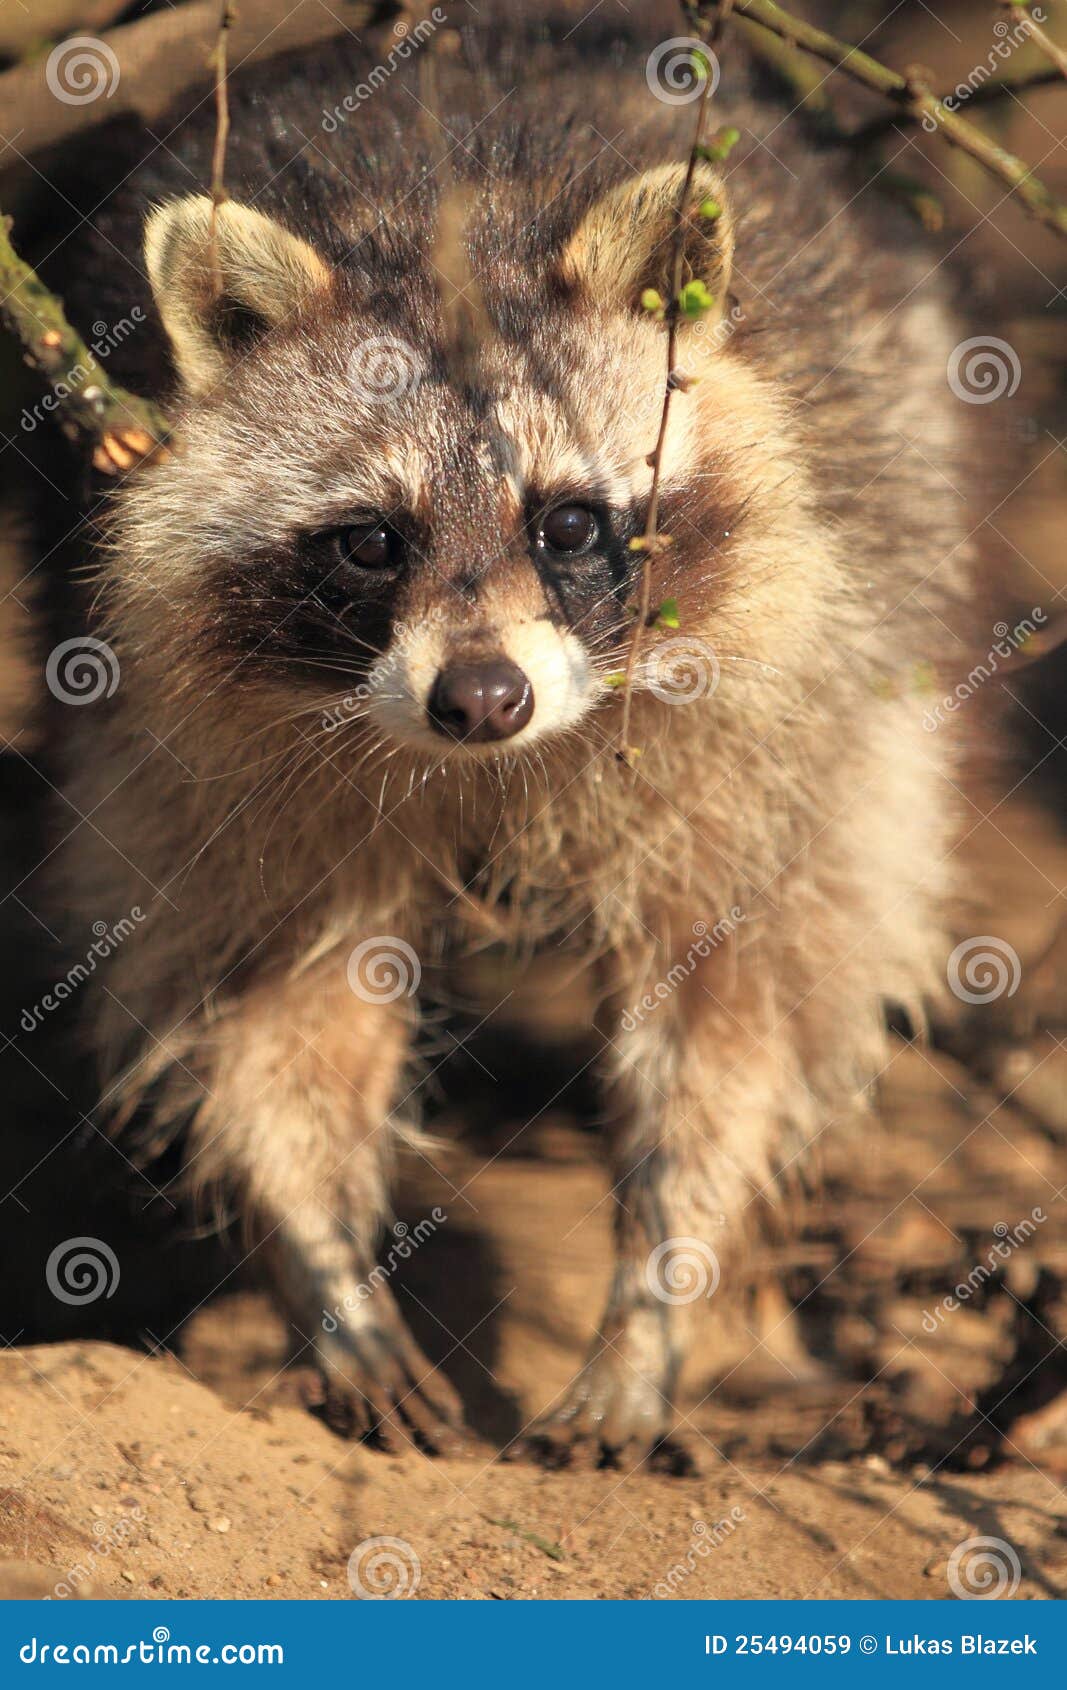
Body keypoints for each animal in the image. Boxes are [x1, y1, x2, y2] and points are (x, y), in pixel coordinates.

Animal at [42, 7, 983, 1461]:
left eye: (569, 522)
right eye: (372, 542)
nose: (480, 699)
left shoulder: (758, 710)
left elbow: (728, 997)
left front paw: (657, 1284)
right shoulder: (222, 754)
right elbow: (275, 997)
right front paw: (324, 1263)